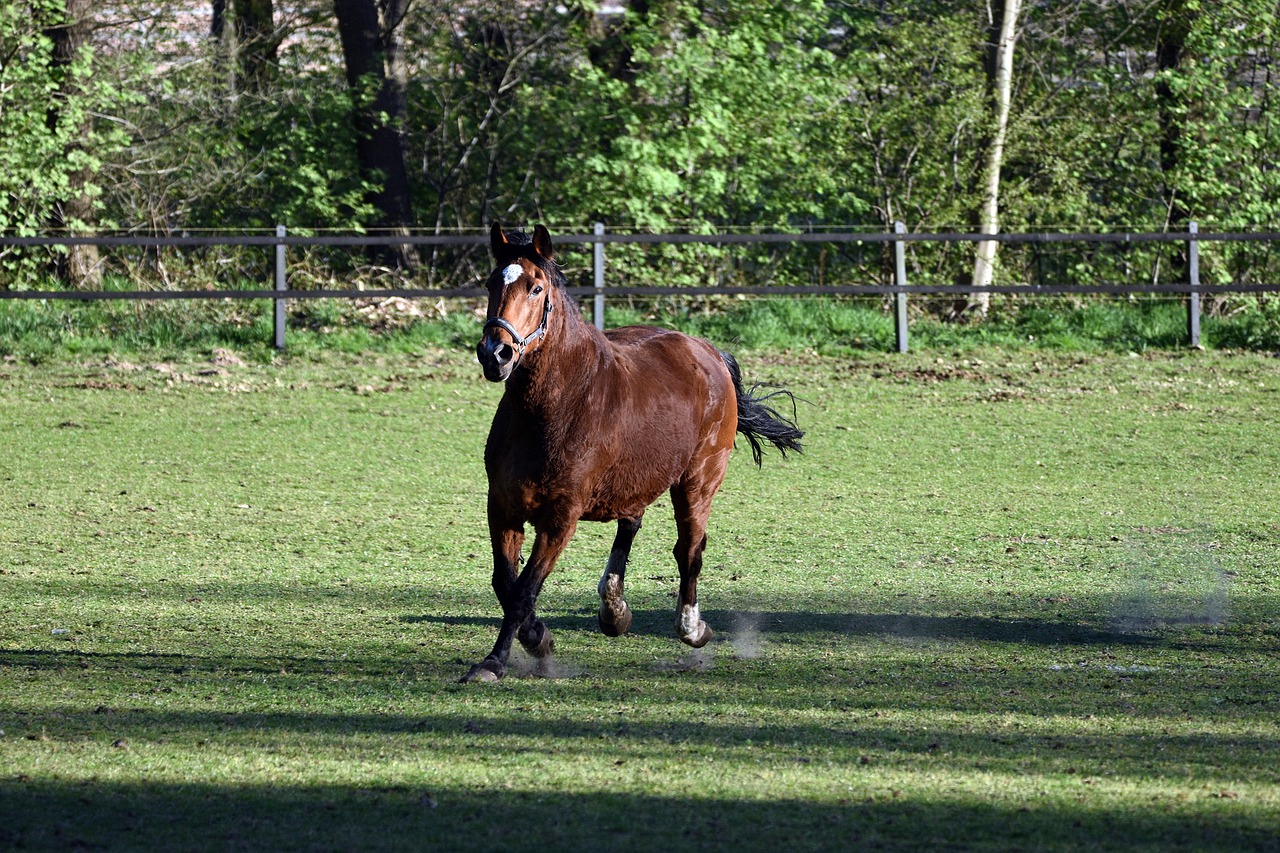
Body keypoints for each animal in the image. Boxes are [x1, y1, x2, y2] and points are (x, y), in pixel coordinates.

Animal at [463, 223, 803, 682]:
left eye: (536, 287)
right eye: (490, 283)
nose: (494, 354)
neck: (553, 409)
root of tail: (708, 351)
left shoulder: (559, 518)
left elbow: (522, 590)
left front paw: (499, 661)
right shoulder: (502, 506)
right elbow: (506, 583)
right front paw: (535, 638)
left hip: (698, 481)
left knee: (689, 549)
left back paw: (692, 628)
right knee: (632, 522)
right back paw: (614, 609)